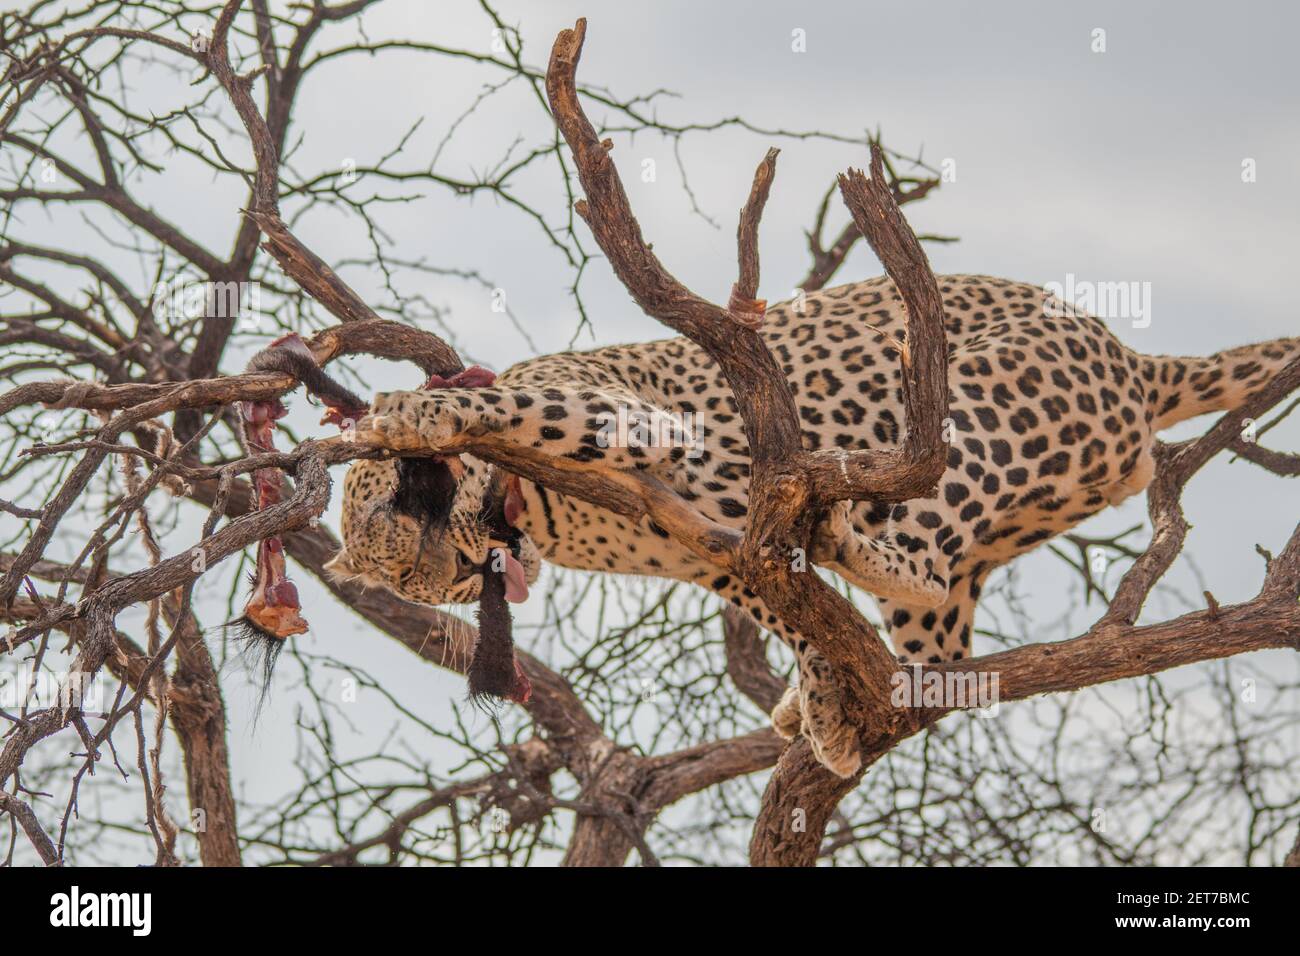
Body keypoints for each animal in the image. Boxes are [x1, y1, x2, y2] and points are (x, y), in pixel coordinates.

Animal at [324, 274, 1298, 778]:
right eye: (417, 583)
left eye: (414, 508)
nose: (459, 569)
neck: (553, 517)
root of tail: (1139, 358)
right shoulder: (711, 551)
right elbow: (786, 605)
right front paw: (824, 695)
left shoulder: (627, 413)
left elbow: (515, 408)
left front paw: (418, 412)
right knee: (939, 638)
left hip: (980, 395)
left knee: (921, 540)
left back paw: (855, 535)